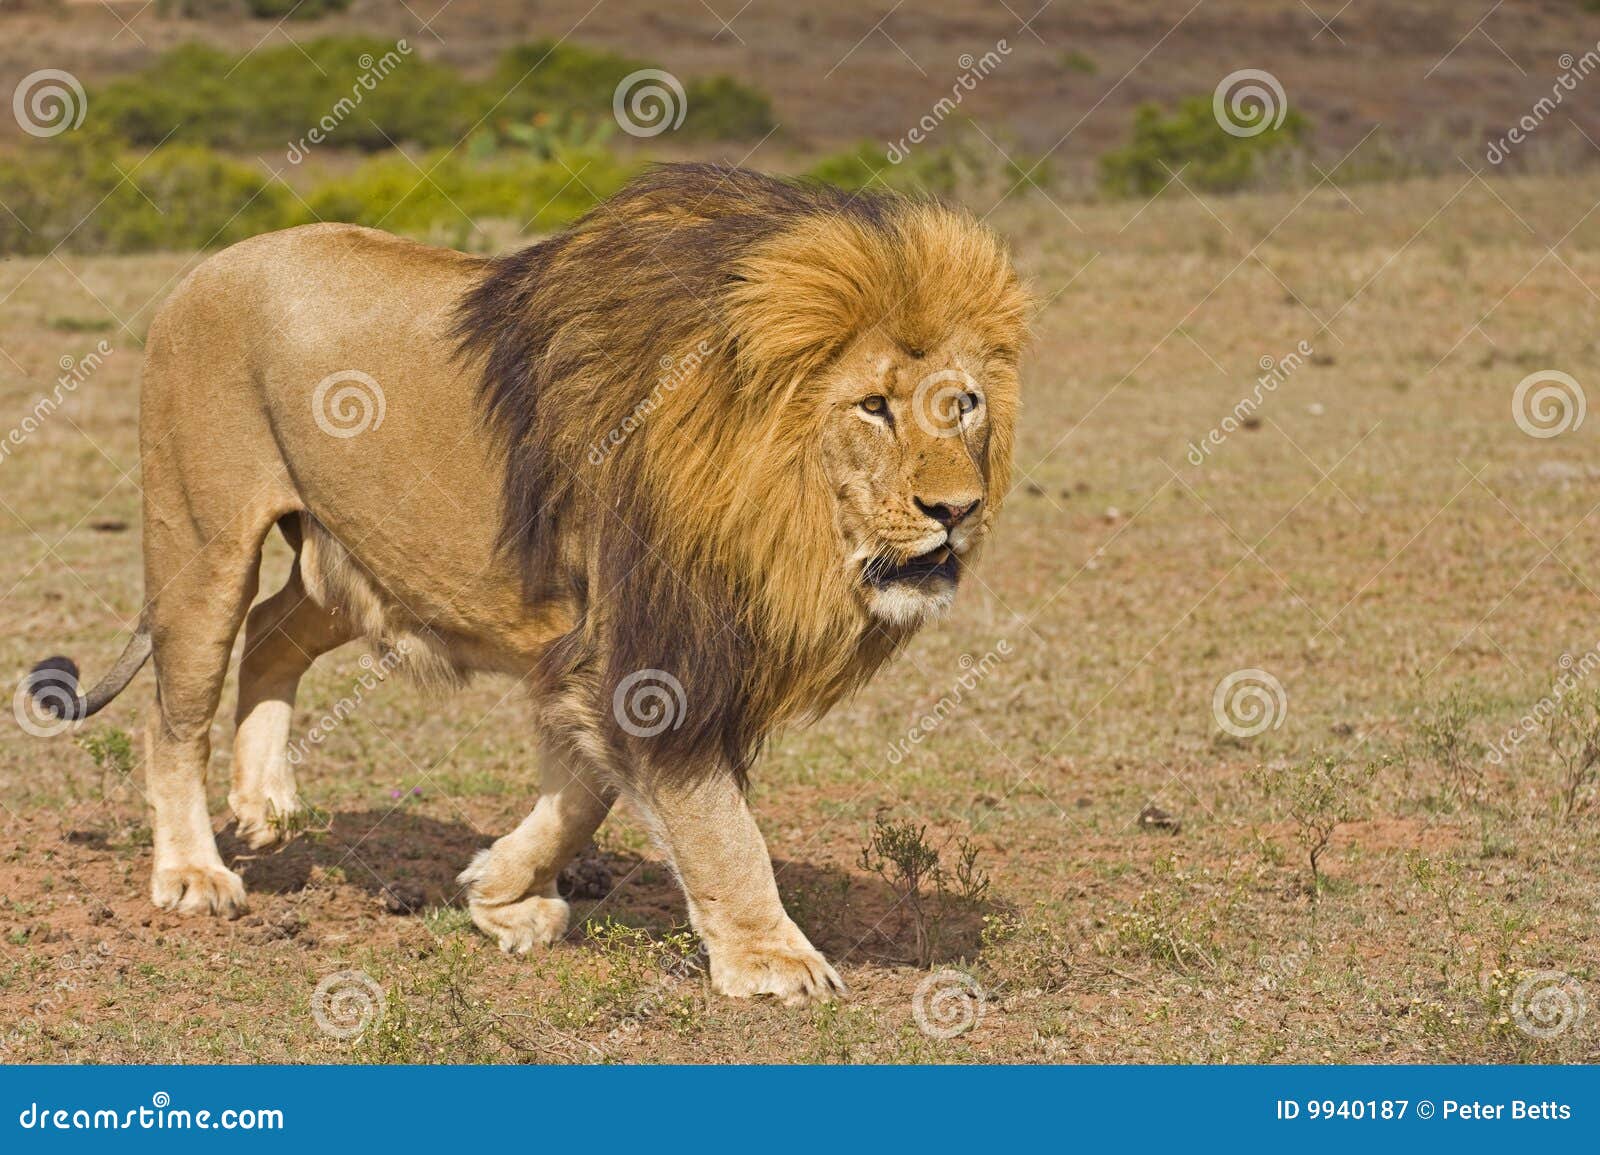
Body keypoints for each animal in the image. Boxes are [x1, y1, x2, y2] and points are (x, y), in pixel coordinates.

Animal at [27, 164, 1028, 1004]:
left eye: (964, 404)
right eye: (873, 406)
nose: (957, 509)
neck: (778, 515)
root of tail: (204, 268)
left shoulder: (590, 650)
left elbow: (583, 794)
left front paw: (497, 892)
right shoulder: (647, 653)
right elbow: (719, 828)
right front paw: (773, 957)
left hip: (355, 558)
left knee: (273, 631)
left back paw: (266, 799)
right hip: (203, 542)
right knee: (173, 715)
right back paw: (193, 873)